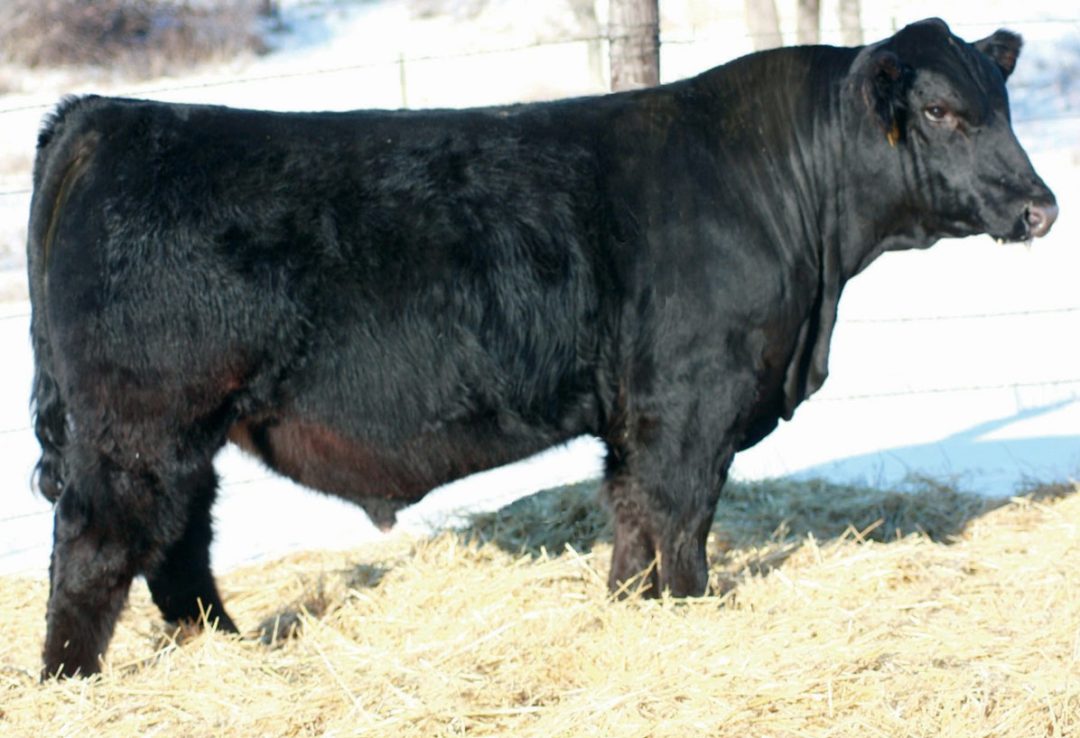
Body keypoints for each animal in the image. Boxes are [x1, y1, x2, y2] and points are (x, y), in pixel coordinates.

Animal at [27, 18, 1056, 677]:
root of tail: (103, 116)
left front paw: (628, 614)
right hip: (138, 425)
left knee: (178, 546)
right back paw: (74, 683)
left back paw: (225, 651)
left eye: (1001, 105)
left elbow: (633, 525)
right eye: (942, 113)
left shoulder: (635, 417)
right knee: (98, 548)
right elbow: (682, 524)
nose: (1041, 206)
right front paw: (691, 618)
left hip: (183, 434)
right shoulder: (691, 403)